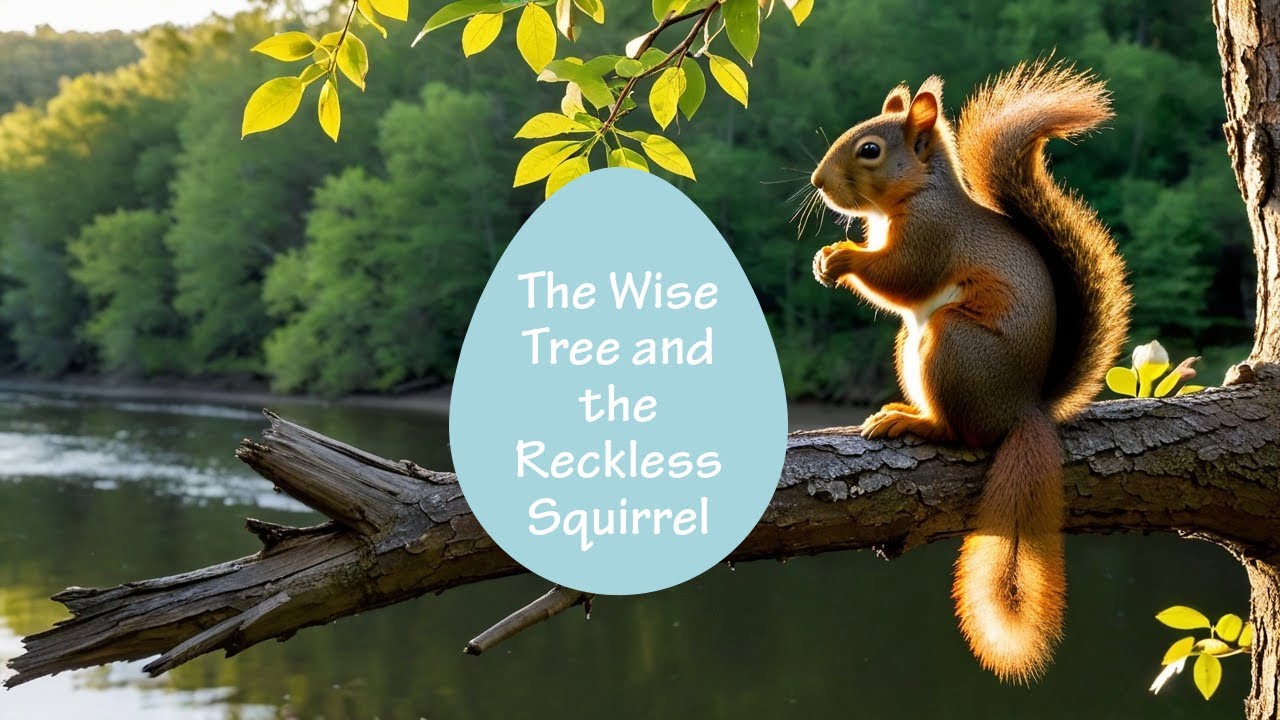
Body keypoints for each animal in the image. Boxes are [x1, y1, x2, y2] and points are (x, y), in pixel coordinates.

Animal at [809, 60, 1131, 682]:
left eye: (869, 150)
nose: (816, 181)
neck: (916, 193)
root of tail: (1023, 408)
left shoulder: (930, 236)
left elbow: (901, 276)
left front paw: (841, 258)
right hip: (912, 347)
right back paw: (903, 410)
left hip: (952, 344)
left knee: (961, 433)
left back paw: (918, 424)